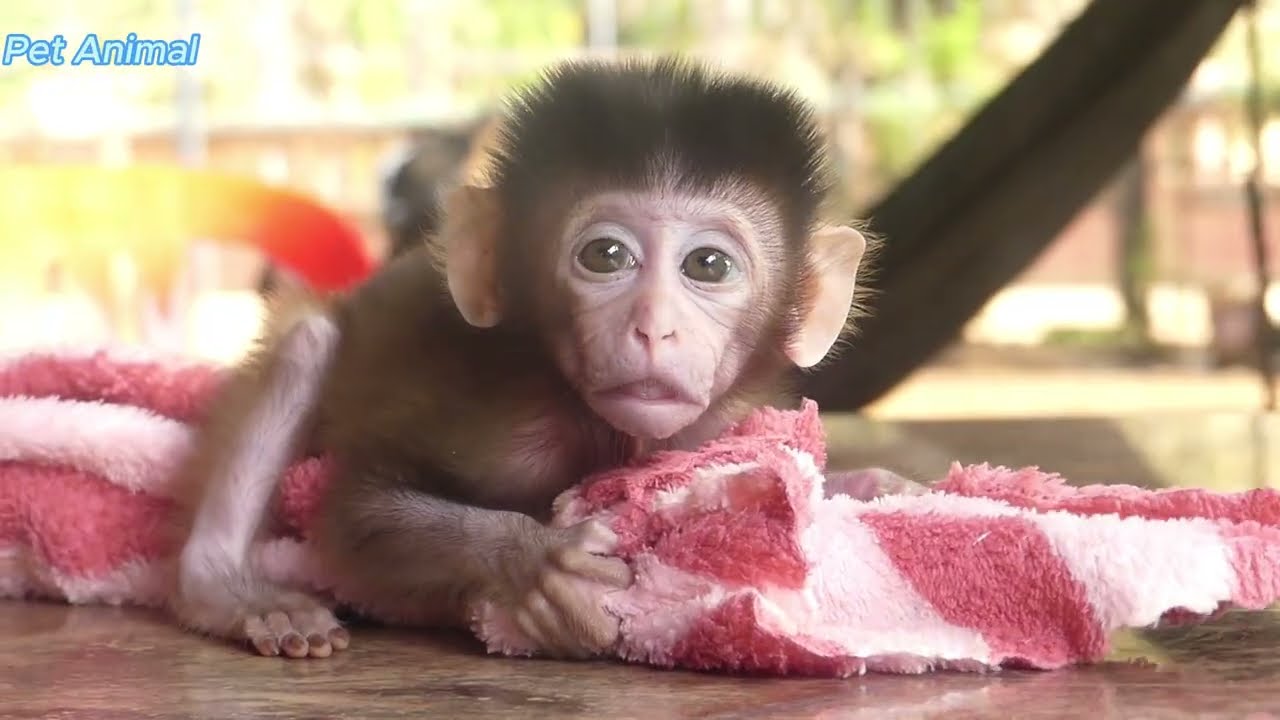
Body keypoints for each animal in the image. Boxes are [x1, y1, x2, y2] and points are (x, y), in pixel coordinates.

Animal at [170, 57, 875, 661]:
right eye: (606, 257)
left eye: (708, 265)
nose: (654, 328)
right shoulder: (501, 429)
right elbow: (358, 512)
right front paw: (536, 558)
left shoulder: (713, 428)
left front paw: (869, 483)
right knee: (309, 343)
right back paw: (226, 590)